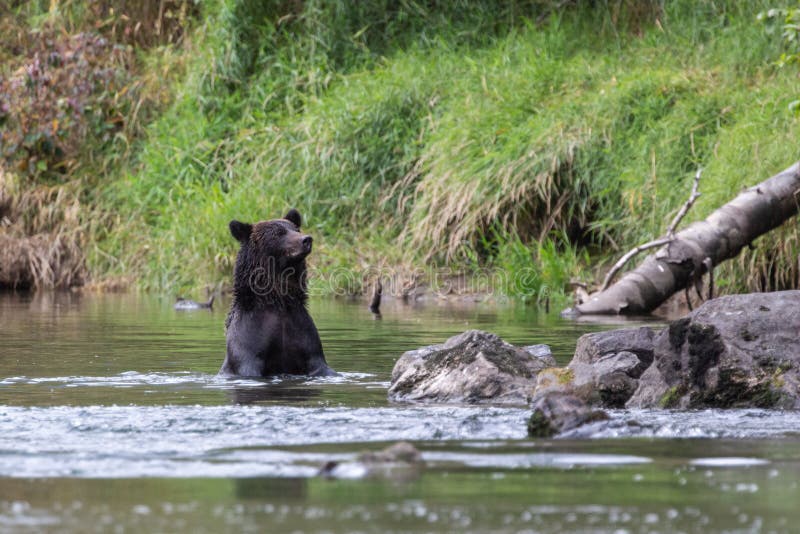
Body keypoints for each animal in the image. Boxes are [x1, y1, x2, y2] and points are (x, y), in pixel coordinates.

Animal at [219, 208, 335, 377]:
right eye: (278, 233)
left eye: (296, 229)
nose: (307, 239)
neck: (278, 301)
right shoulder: (249, 336)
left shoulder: (301, 331)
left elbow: (319, 363)